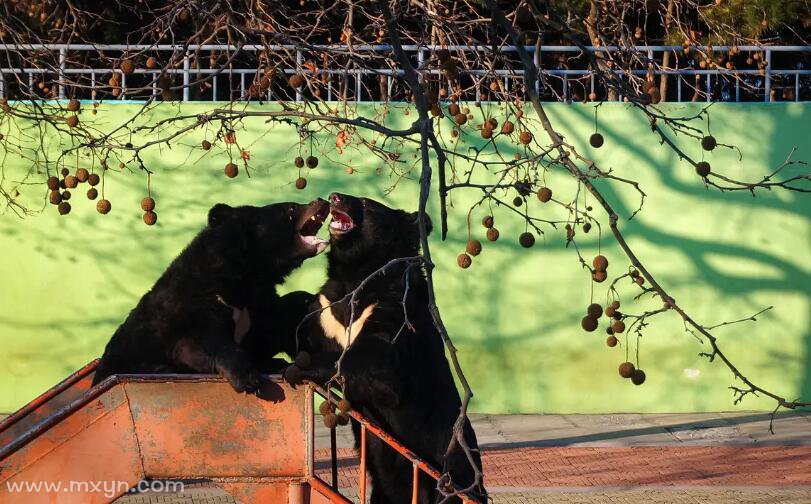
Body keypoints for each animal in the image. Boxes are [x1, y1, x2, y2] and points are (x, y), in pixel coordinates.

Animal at [96, 198, 334, 394]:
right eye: (291, 208)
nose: (322, 201)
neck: (249, 274)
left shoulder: (258, 303)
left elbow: (283, 317)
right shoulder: (197, 301)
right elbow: (207, 339)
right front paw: (248, 380)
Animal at [288, 193, 486, 504]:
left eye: (366, 204)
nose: (334, 197)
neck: (355, 277)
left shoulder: (396, 310)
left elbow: (381, 367)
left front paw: (296, 369)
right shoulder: (326, 311)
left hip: (450, 476)